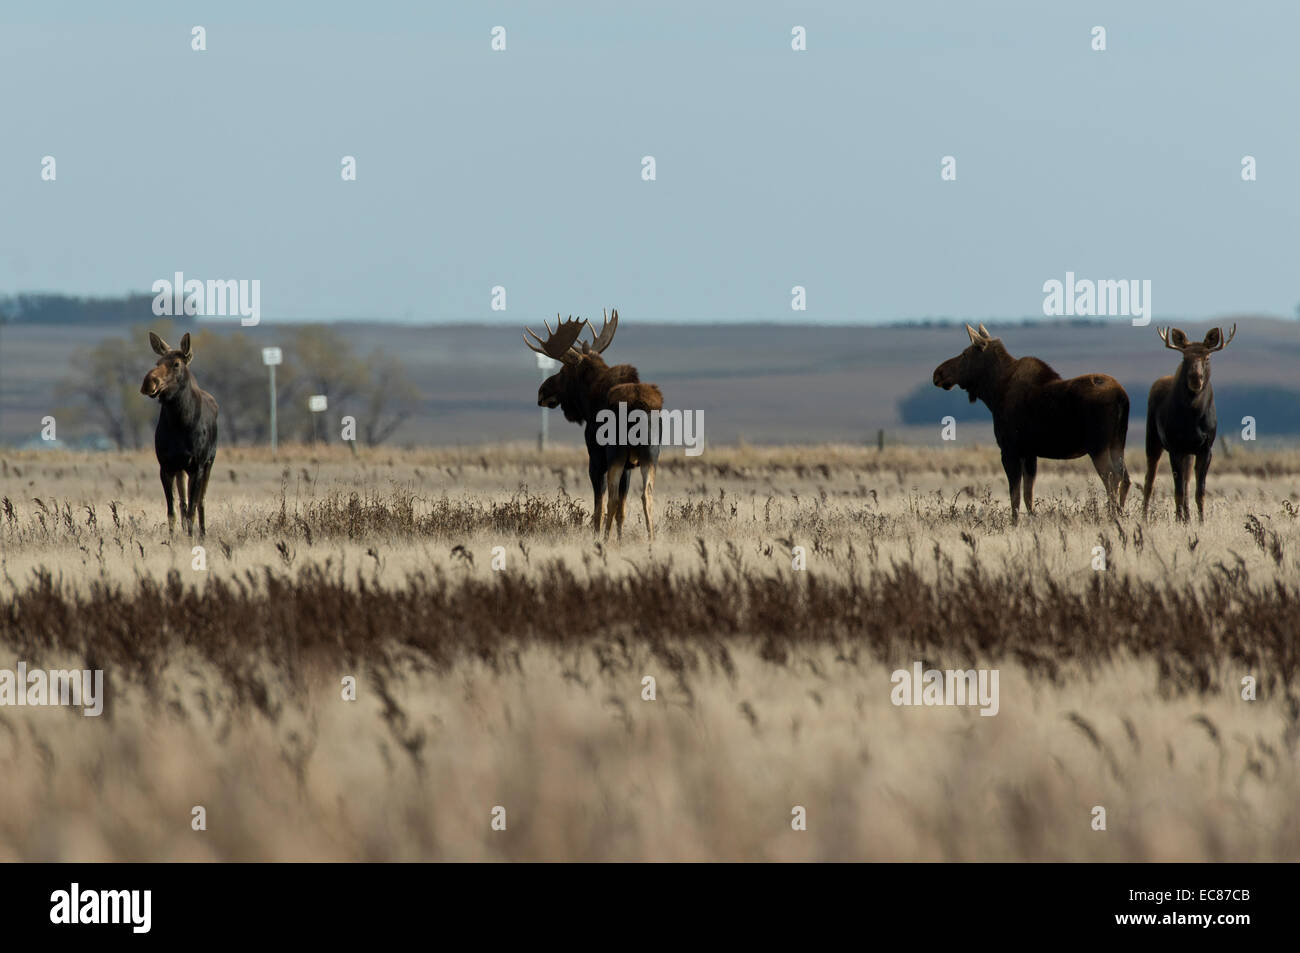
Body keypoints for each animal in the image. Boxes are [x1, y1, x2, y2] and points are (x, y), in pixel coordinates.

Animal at [140, 332, 219, 537]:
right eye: (157, 361)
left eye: (176, 364)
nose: (148, 382)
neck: (179, 423)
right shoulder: (166, 466)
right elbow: (172, 511)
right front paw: (172, 538)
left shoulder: (197, 466)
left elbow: (193, 509)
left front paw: (191, 538)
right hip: (180, 470)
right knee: (183, 503)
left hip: (208, 463)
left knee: (201, 502)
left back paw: (202, 532)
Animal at [523, 309, 663, 542]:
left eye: (563, 371)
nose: (541, 391)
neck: (588, 401)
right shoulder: (629, 466)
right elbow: (623, 509)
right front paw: (620, 539)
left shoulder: (596, 459)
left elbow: (600, 505)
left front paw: (598, 535)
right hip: (650, 454)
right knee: (647, 494)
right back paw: (651, 539)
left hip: (615, 452)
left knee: (612, 499)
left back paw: (605, 540)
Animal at [933, 324, 1131, 524]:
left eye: (965, 353)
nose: (938, 373)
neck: (993, 393)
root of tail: (1122, 397)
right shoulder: (1029, 453)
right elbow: (1028, 494)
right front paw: (1032, 520)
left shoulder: (1009, 450)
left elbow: (1015, 495)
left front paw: (1014, 523)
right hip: (1117, 443)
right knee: (1125, 478)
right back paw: (1121, 513)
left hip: (1097, 446)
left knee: (1112, 478)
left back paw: (1112, 515)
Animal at [1141, 324, 1236, 523]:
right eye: (1184, 357)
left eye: (1207, 357)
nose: (1195, 377)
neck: (1193, 418)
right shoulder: (1175, 448)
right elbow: (1177, 491)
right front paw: (1178, 521)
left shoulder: (1205, 449)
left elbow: (1199, 492)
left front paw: (1200, 521)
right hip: (1152, 440)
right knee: (1149, 480)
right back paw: (1144, 517)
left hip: (1188, 452)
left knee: (1186, 482)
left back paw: (1187, 517)